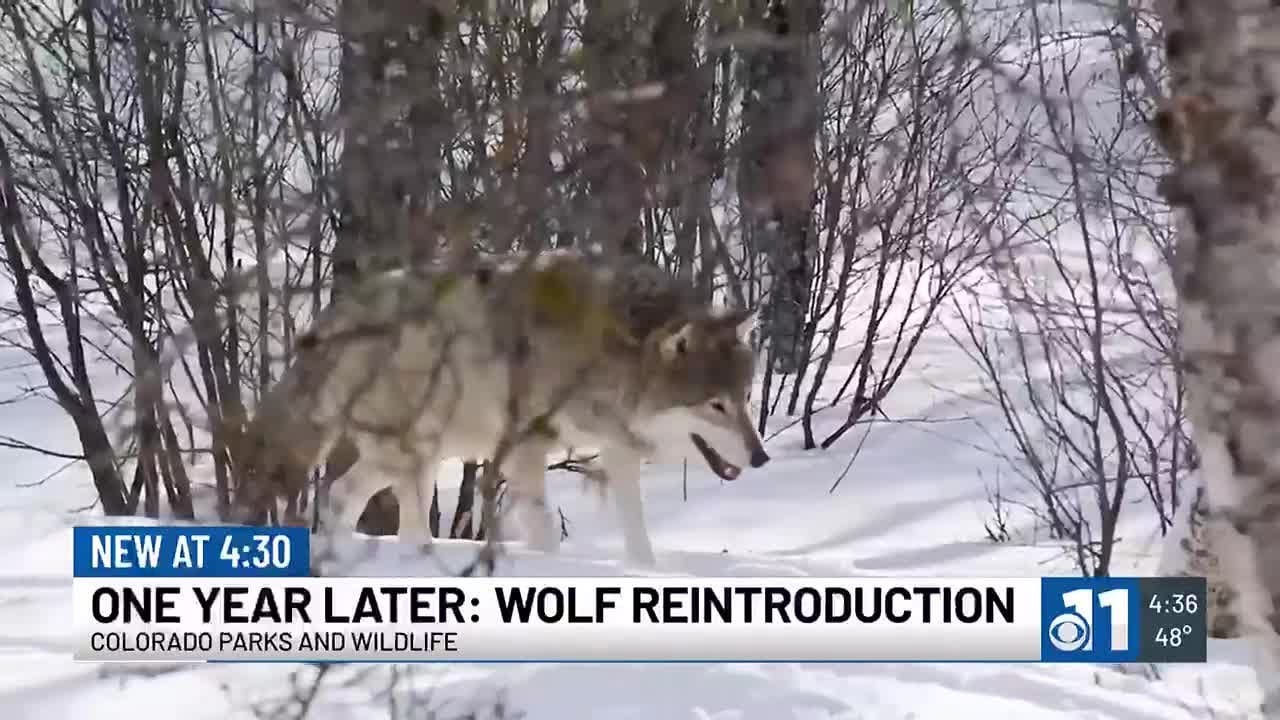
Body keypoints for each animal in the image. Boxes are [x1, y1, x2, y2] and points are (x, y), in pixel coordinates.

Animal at [236, 247, 770, 566]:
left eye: (744, 398)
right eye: (716, 405)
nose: (762, 457)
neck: (611, 357)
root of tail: (332, 315)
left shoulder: (618, 447)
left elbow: (638, 536)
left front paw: (645, 573)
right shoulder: (527, 449)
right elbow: (544, 533)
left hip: (412, 457)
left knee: (342, 496)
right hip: (412, 452)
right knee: (382, 514)